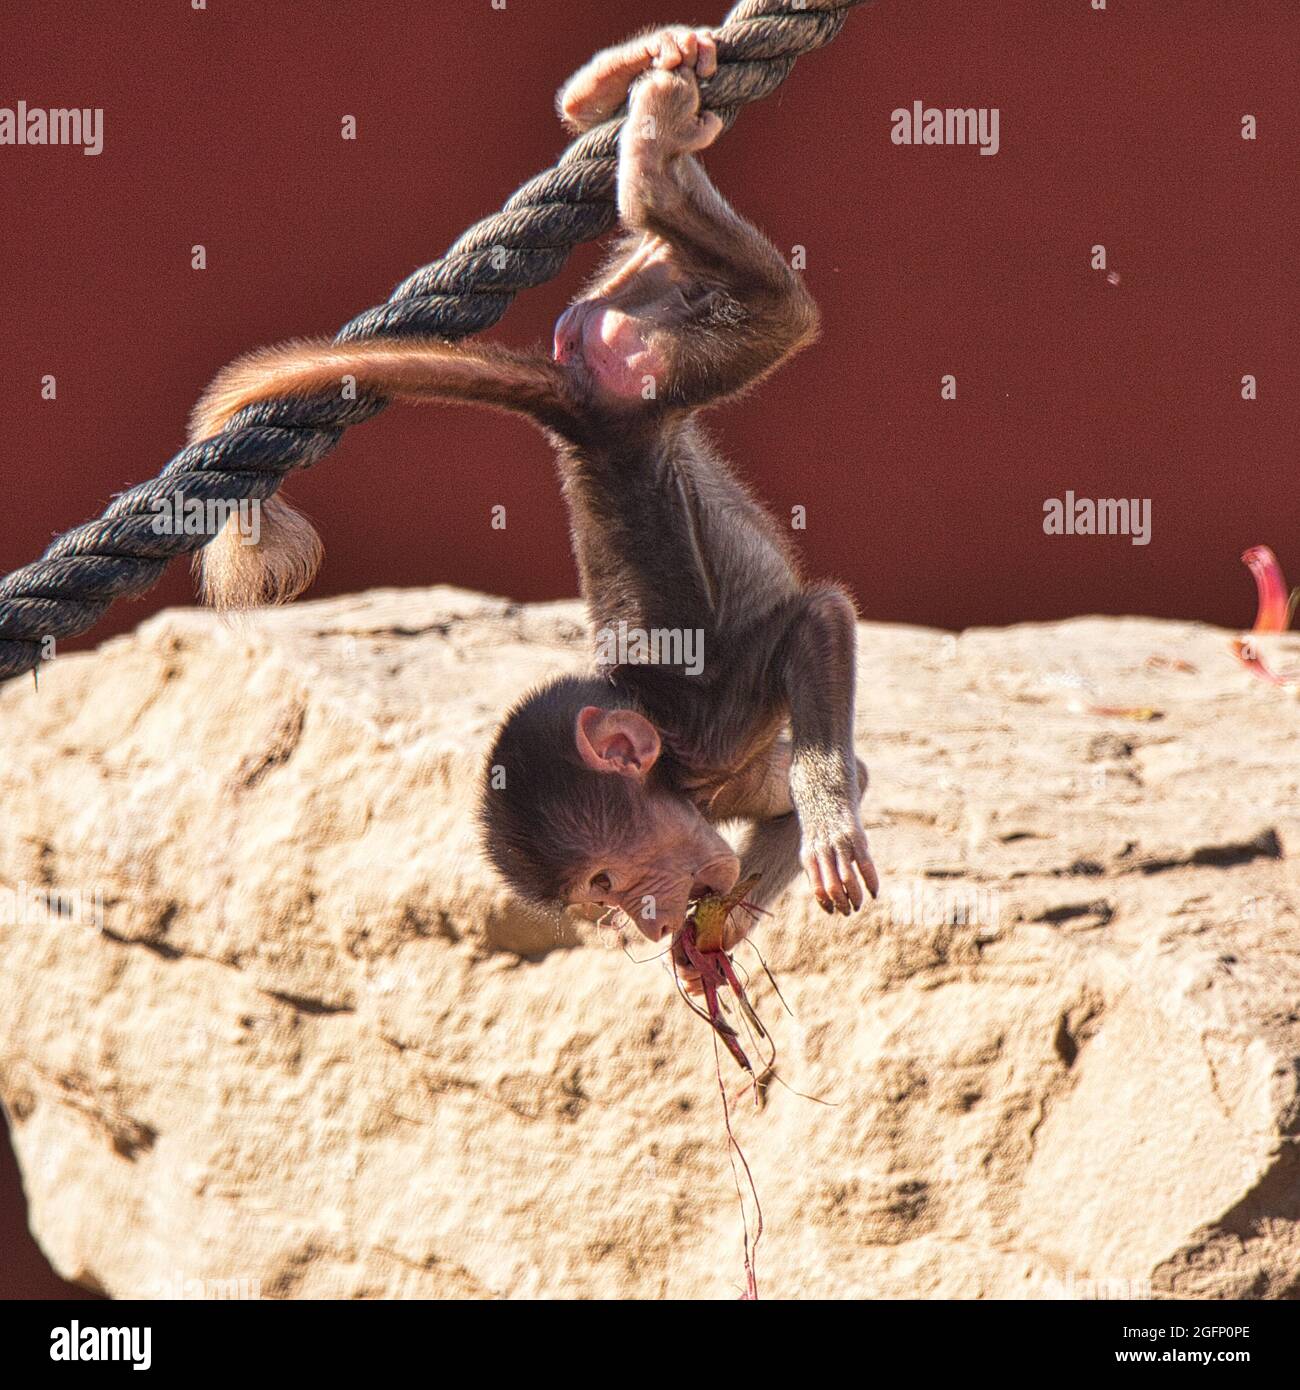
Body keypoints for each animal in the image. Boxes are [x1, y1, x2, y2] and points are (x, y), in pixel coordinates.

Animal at [190, 26, 880, 959]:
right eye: (599, 898)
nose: (640, 921)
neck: (670, 762)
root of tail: (579, 412)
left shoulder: (714, 733)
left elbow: (819, 618)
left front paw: (828, 823)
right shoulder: (723, 782)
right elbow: (826, 772)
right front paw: (717, 935)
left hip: (654, 373)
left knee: (778, 305)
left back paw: (647, 160)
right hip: (621, 334)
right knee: (651, 271)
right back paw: (619, 95)